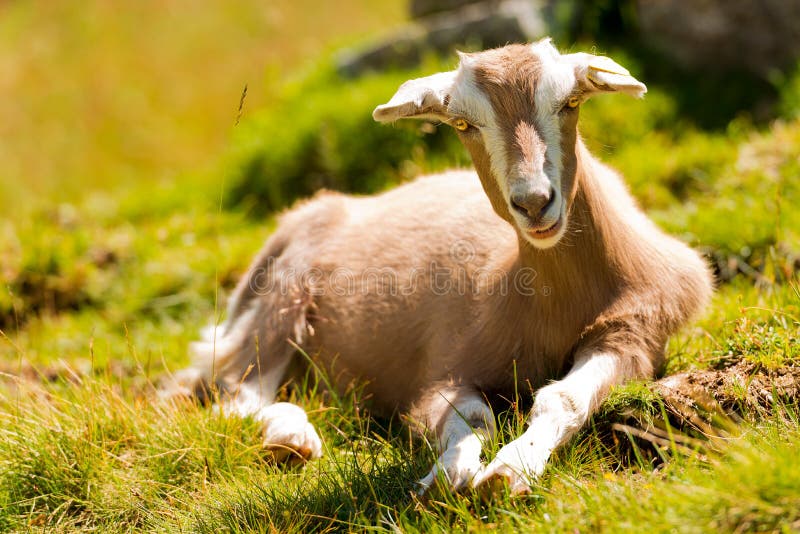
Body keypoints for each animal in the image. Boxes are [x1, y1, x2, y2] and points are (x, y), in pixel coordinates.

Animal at [163, 39, 713, 495]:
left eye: (569, 103)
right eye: (465, 125)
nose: (534, 203)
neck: (546, 299)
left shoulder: (634, 335)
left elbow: (565, 399)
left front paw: (509, 471)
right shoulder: (446, 363)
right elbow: (470, 417)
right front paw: (452, 475)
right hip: (278, 302)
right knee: (239, 392)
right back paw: (292, 437)